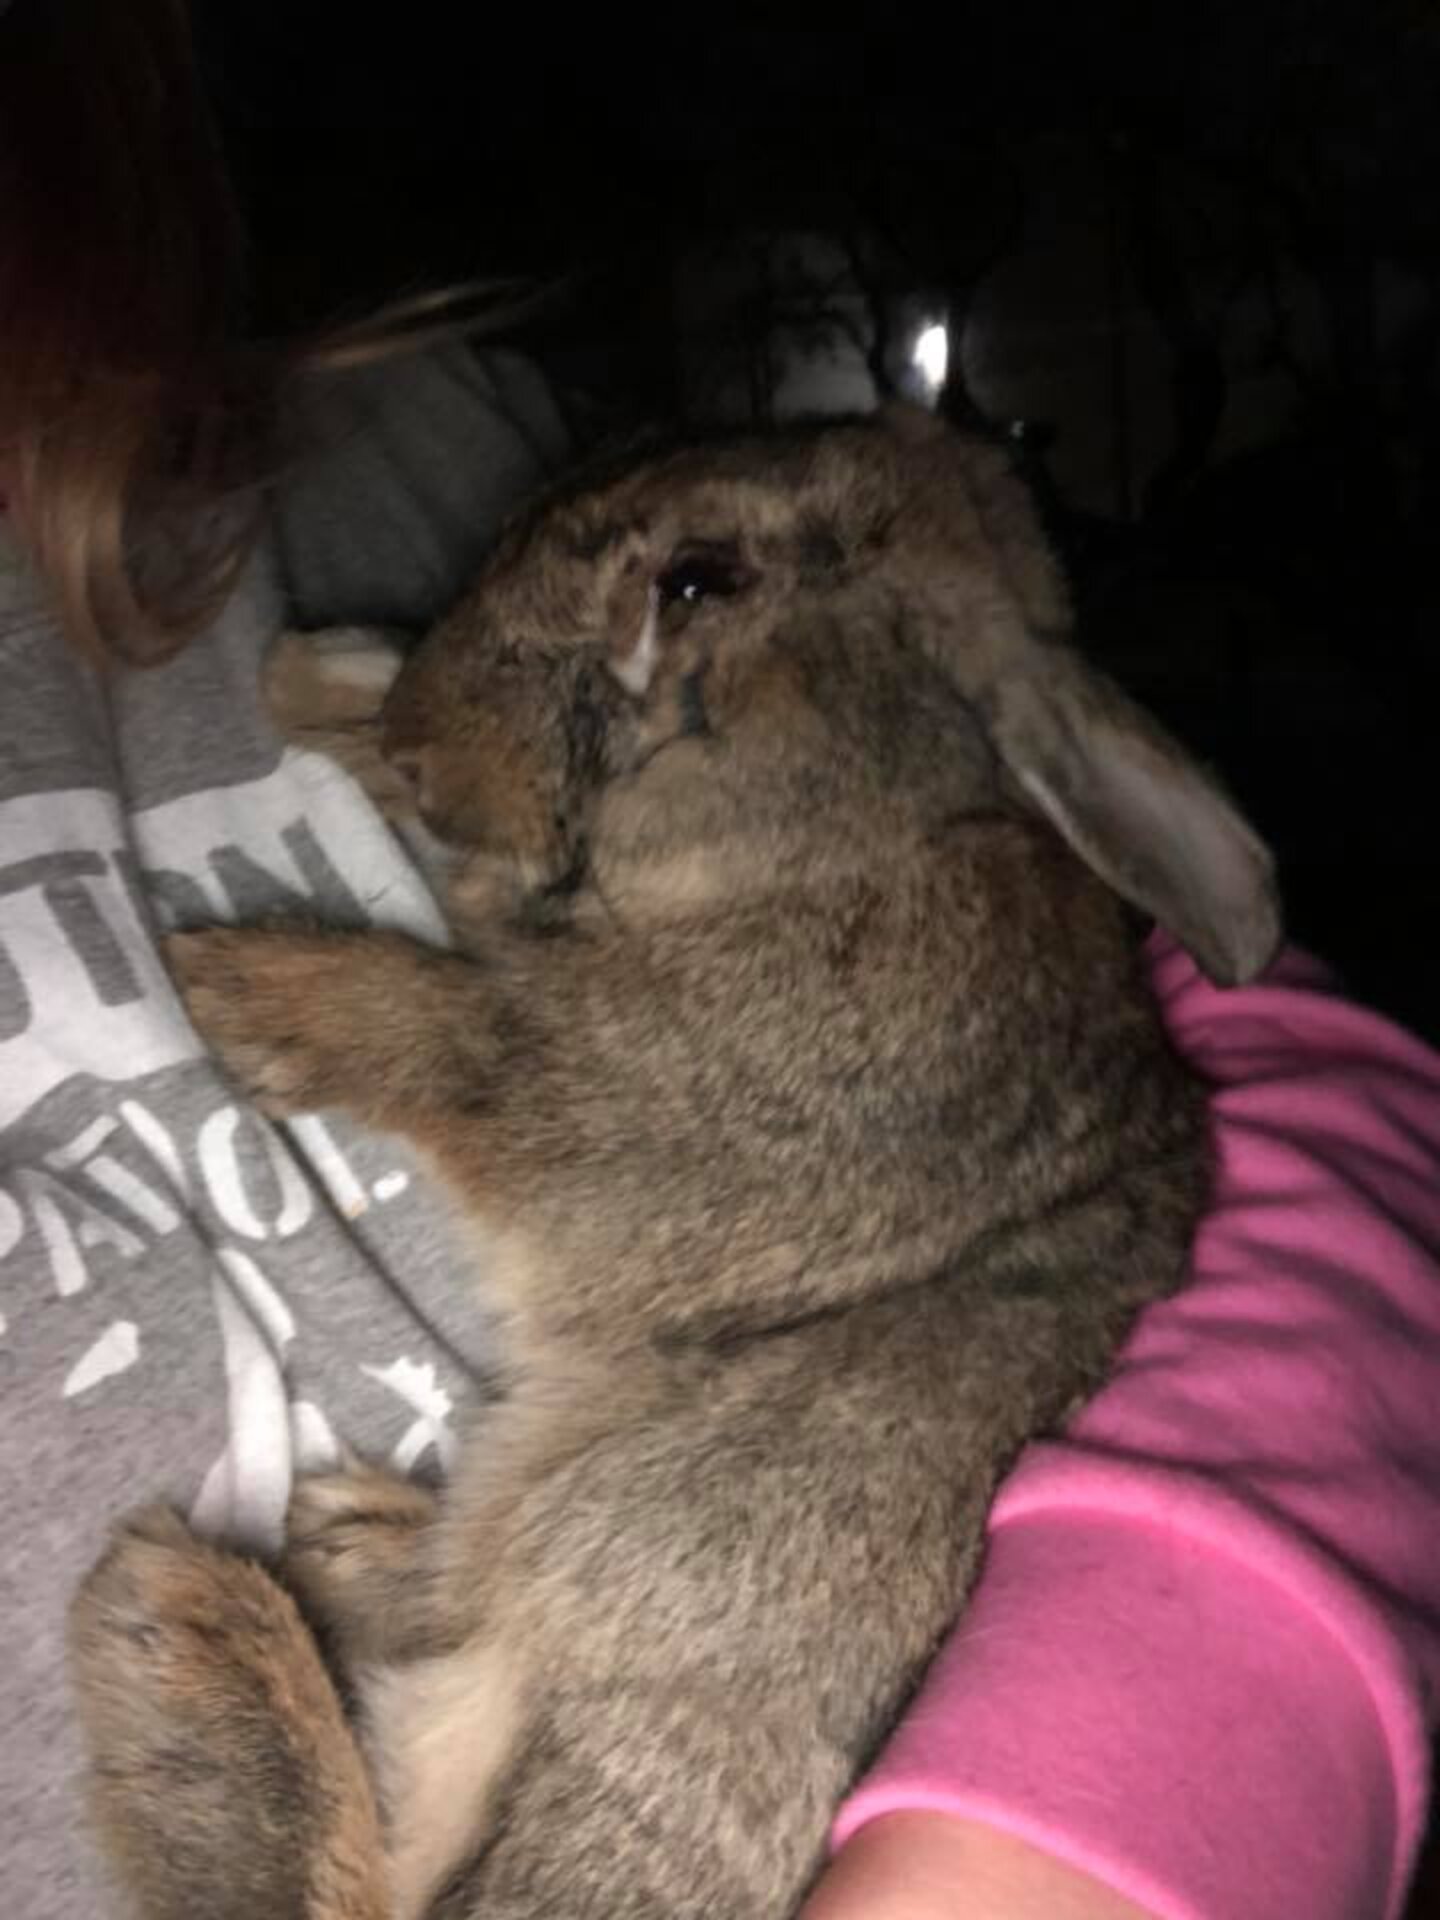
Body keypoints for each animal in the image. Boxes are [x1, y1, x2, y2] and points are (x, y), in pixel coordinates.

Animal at [69, 404, 1280, 1920]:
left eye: (697, 579)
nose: (420, 744)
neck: (861, 836)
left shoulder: (612, 1099)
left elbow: (464, 1033)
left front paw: (240, 980)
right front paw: (324, 676)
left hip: (647, 1583)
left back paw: (191, 1626)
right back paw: (340, 1544)